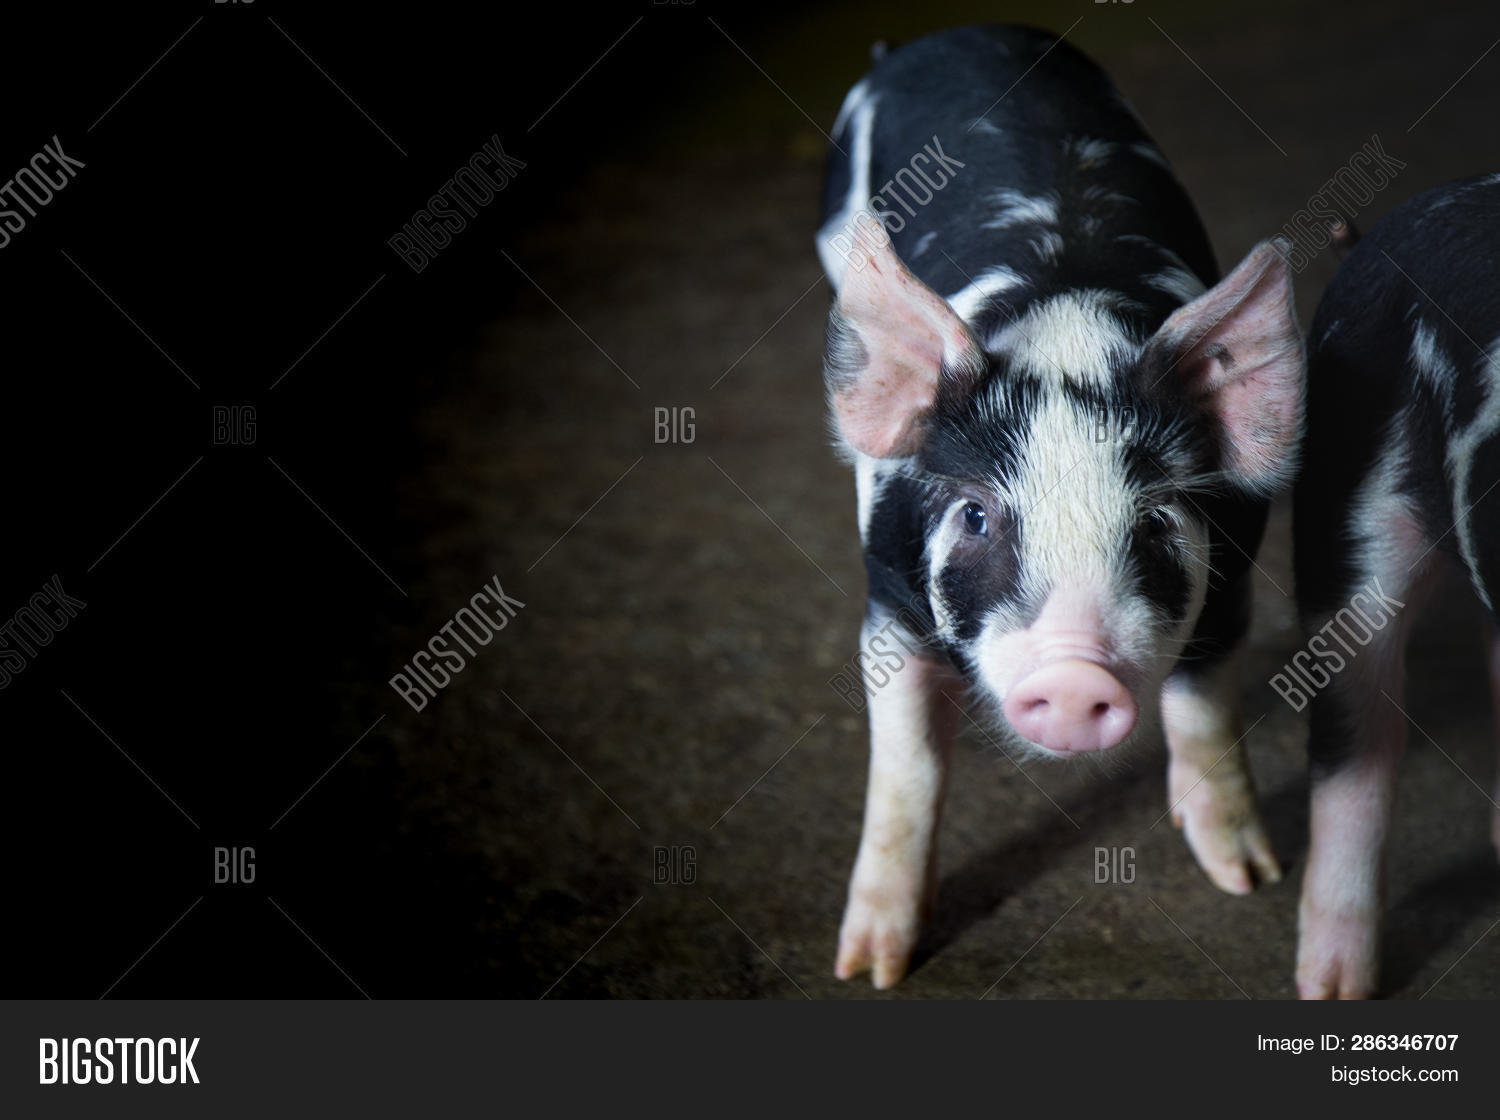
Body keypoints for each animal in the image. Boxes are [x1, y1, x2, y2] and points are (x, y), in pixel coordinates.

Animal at [815, 25, 1307, 988]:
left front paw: (1248, 877)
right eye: (974, 515)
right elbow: (908, 768)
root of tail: (957, 33)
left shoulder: (1232, 581)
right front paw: (870, 968)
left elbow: (1205, 713)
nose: (1075, 676)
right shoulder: (889, 598)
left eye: (1154, 520)